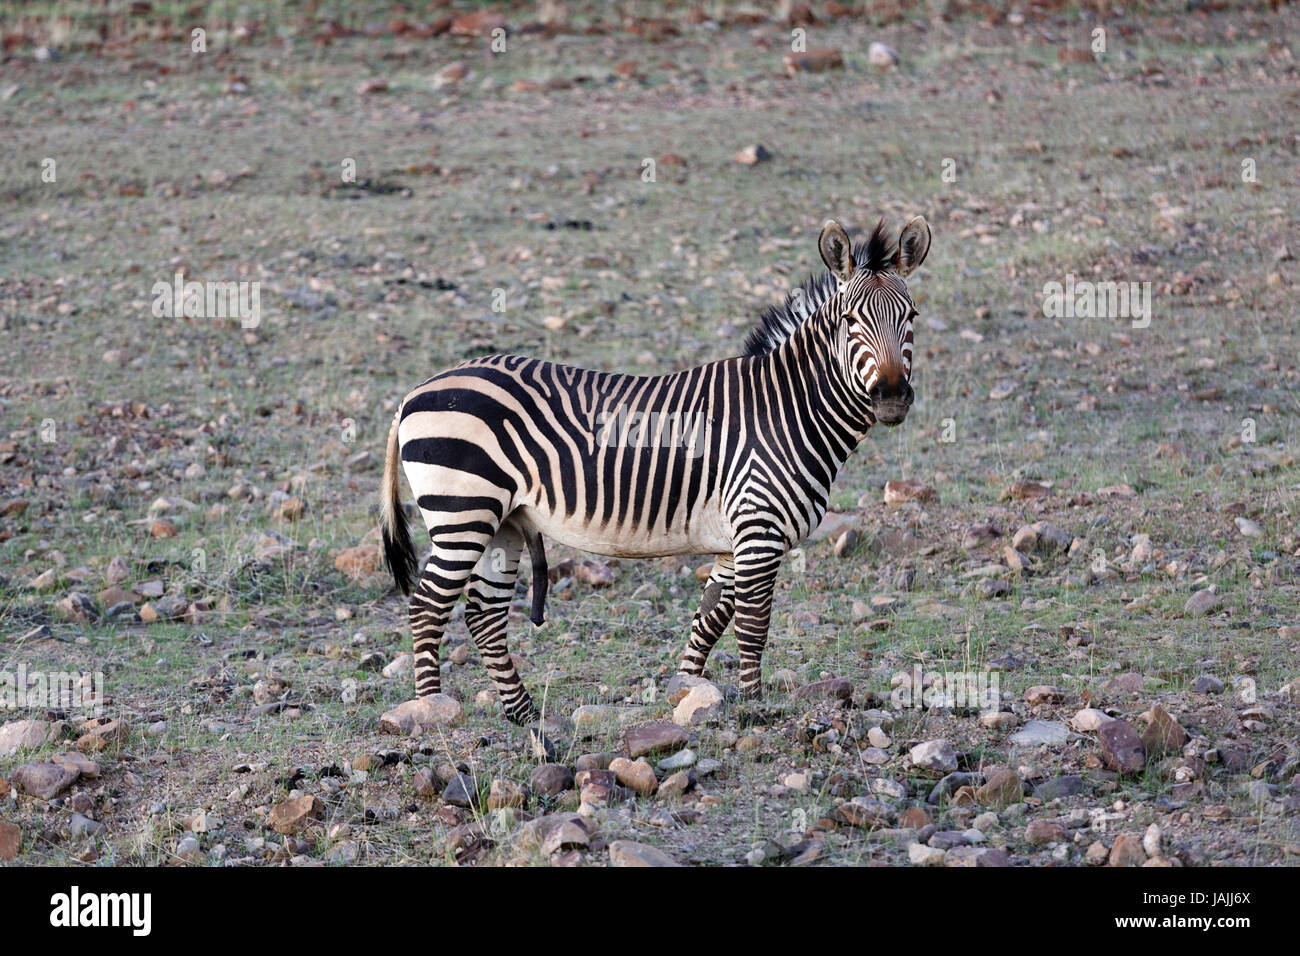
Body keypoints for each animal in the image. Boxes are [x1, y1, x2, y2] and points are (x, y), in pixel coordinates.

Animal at [379, 215, 931, 727]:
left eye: (912, 316)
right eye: (849, 320)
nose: (891, 397)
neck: (788, 408)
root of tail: (415, 391)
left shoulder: (732, 541)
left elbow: (710, 619)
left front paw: (685, 693)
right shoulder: (759, 529)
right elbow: (753, 624)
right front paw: (755, 708)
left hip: (504, 523)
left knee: (482, 612)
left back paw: (522, 712)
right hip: (463, 513)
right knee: (428, 606)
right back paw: (431, 711)